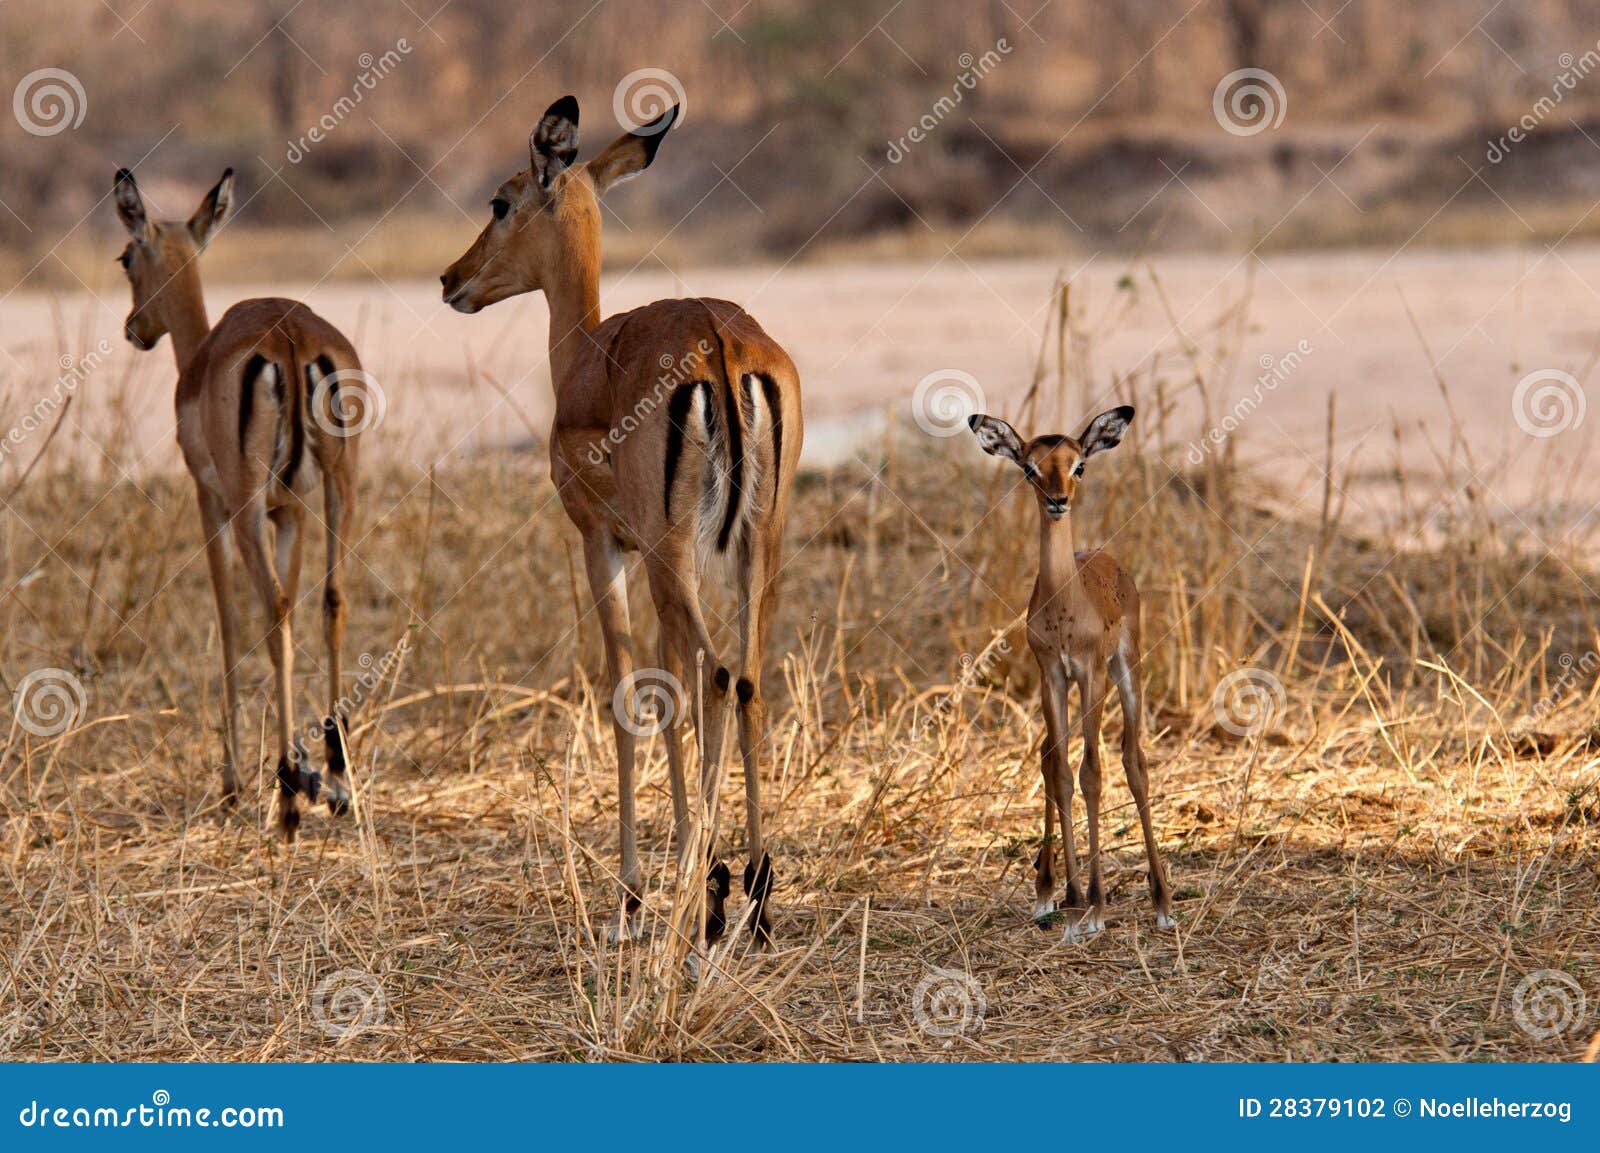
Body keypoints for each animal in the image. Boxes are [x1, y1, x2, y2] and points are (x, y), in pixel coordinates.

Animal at [112, 166, 363, 838]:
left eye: (125, 257)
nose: (134, 329)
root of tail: (291, 337)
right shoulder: (290, 511)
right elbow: (299, 602)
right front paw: (307, 770)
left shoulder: (211, 503)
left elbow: (226, 617)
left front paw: (233, 782)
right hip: (340, 487)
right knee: (330, 600)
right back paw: (336, 781)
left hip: (246, 505)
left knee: (270, 609)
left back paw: (287, 800)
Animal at [439, 96, 803, 946]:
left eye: (500, 201)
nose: (452, 278)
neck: (583, 360)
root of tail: (720, 343)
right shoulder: (662, 559)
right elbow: (667, 692)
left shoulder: (600, 544)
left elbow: (626, 691)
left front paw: (634, 895)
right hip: (751, 550)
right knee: (747, 678)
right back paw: (756, 892)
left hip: (674, 556)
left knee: (715, 673)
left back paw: (709, 894)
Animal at [968, 407, 1173, 942]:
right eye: (1029, 469)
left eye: (1079, 465)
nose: (1058, 501)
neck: (1065, 600)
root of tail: (1104, 557)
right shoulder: (1052, 676)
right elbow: (1060, 772)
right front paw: (1074, 902)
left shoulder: (1090, 673)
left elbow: (1092, 774)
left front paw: (1095, 908)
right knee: (1047, 755)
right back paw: (1046, 893)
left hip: (1126, 671)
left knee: (1134, 762)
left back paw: (1163, 902)